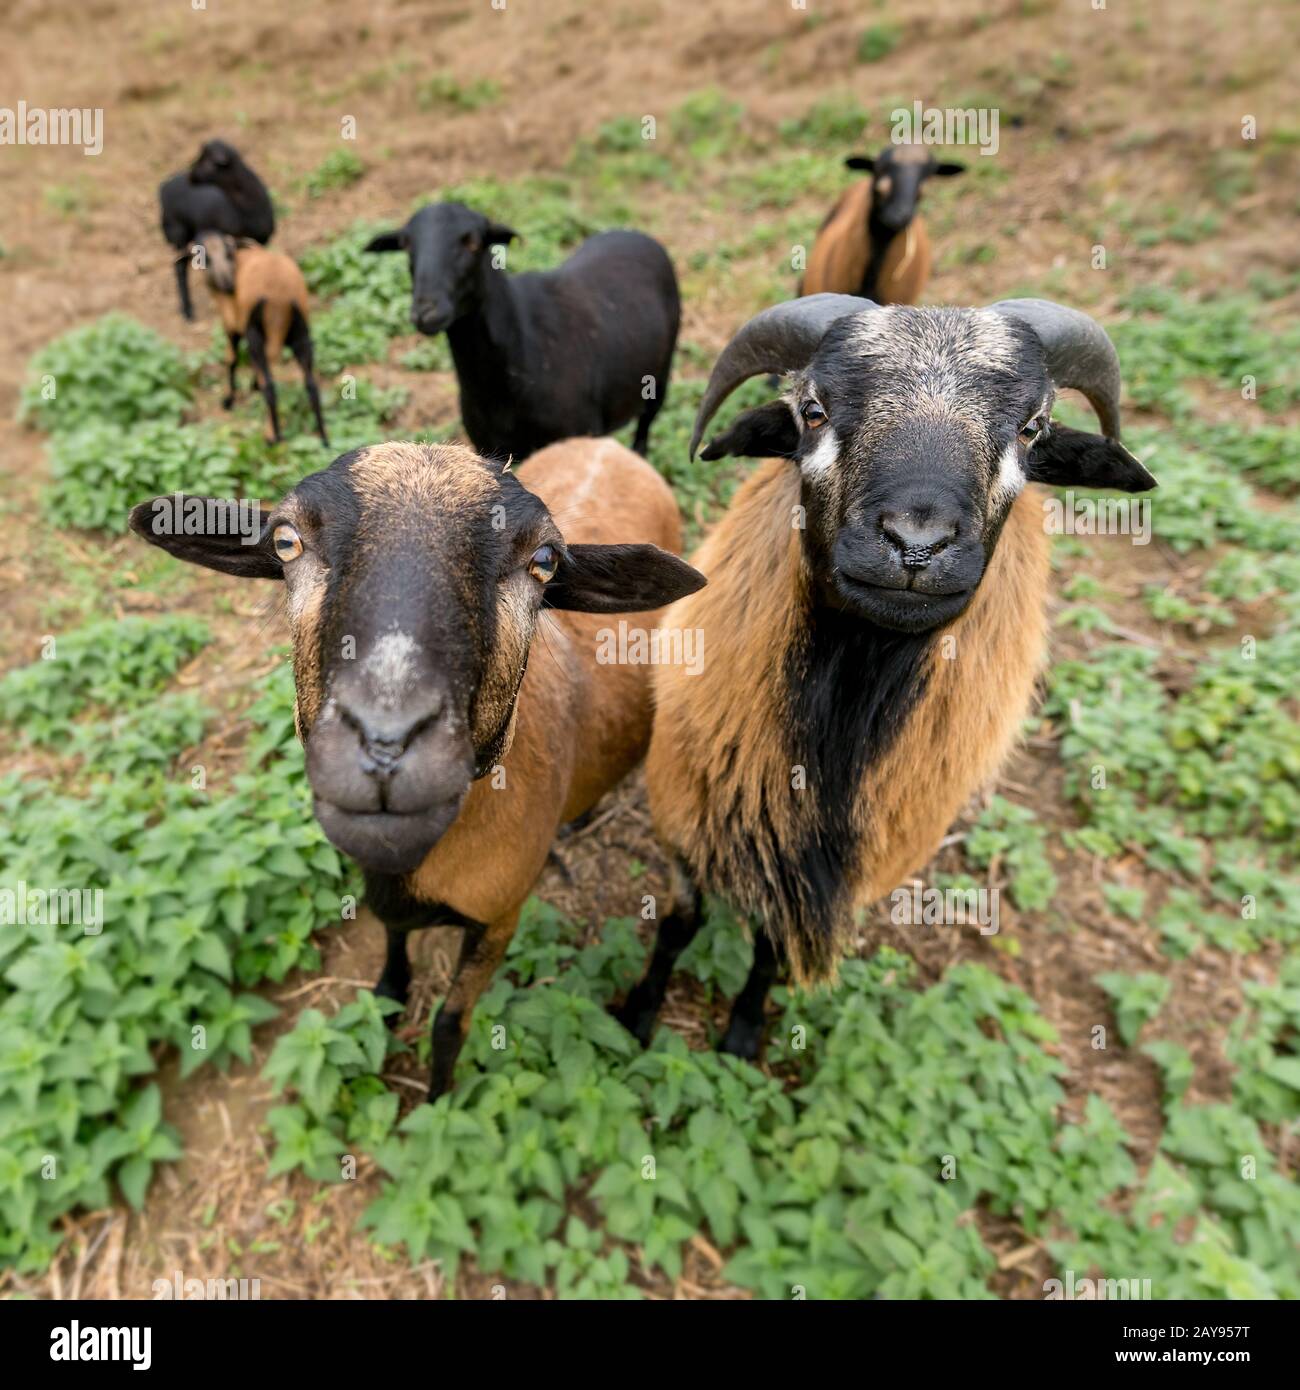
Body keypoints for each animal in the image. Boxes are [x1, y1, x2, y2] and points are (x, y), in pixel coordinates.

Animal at [129, 437, 705, 1099]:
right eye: (285, 541)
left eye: (544, 562)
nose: (385, 743)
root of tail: (611, 446)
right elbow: (392, 933)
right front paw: (389, 993)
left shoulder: (499, 920)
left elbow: (450, 1026)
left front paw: (439, 1103)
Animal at [159, 139, 275, 320]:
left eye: (207, 162)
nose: (190, 176)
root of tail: (164, 187)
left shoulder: (259, 243)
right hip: (178, 233)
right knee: (180, 266)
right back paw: (188, 310)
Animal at [198, 233, 327, 447]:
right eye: (206, 257)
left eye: (226, 253)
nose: (227, 284)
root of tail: (281, 298)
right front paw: (251, 385)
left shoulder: (233, 323)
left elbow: (231, 358)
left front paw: (229, 400)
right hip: (300, 331)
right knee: (311, 385)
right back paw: (324, 439)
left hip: (255, 330)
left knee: (270, 386)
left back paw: (273, 436)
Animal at [364, 202, 680, 461]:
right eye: (405, 243)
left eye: (473, 241)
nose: (426, 311)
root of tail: (634, 233)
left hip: (659, 377)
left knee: (644, 430)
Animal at [615, 292, 1157, 1057]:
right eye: (812, 409)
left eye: (1032, 429)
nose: (917, 543)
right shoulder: (689, 815)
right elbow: (678, 925)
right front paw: (636, 1017)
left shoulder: (841, 869)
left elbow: (770, 951)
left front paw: (743, 1036)